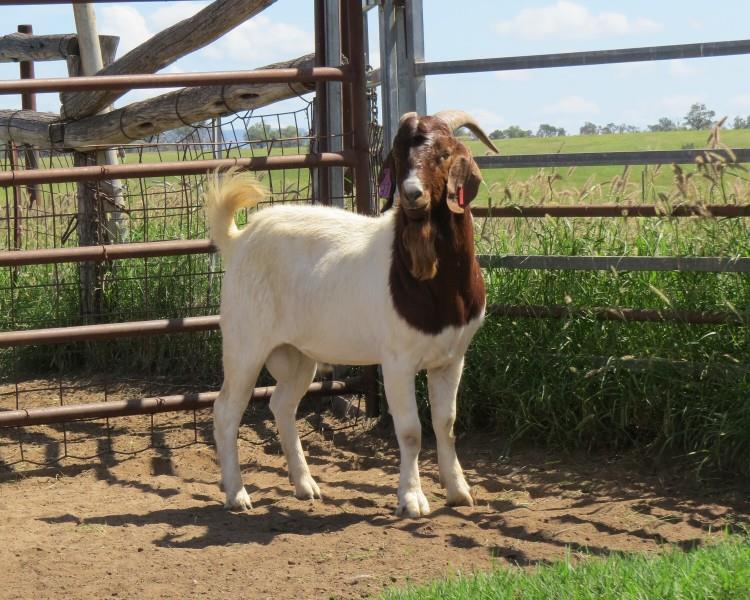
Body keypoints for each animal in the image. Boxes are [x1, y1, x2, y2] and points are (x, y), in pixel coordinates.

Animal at [206, 110, 498, 517]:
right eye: (398, 154)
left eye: (443, 153)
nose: (412, 194)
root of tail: (239, 240)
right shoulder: (397, 361)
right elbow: (411, 431)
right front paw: (412, 499)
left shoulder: (452, 359)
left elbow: (446, 424)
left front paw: (458, 491)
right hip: (244, 343)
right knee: (226, 410)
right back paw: (237, 494)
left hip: (298, 354)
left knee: (282, 405)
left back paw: (305, 485)